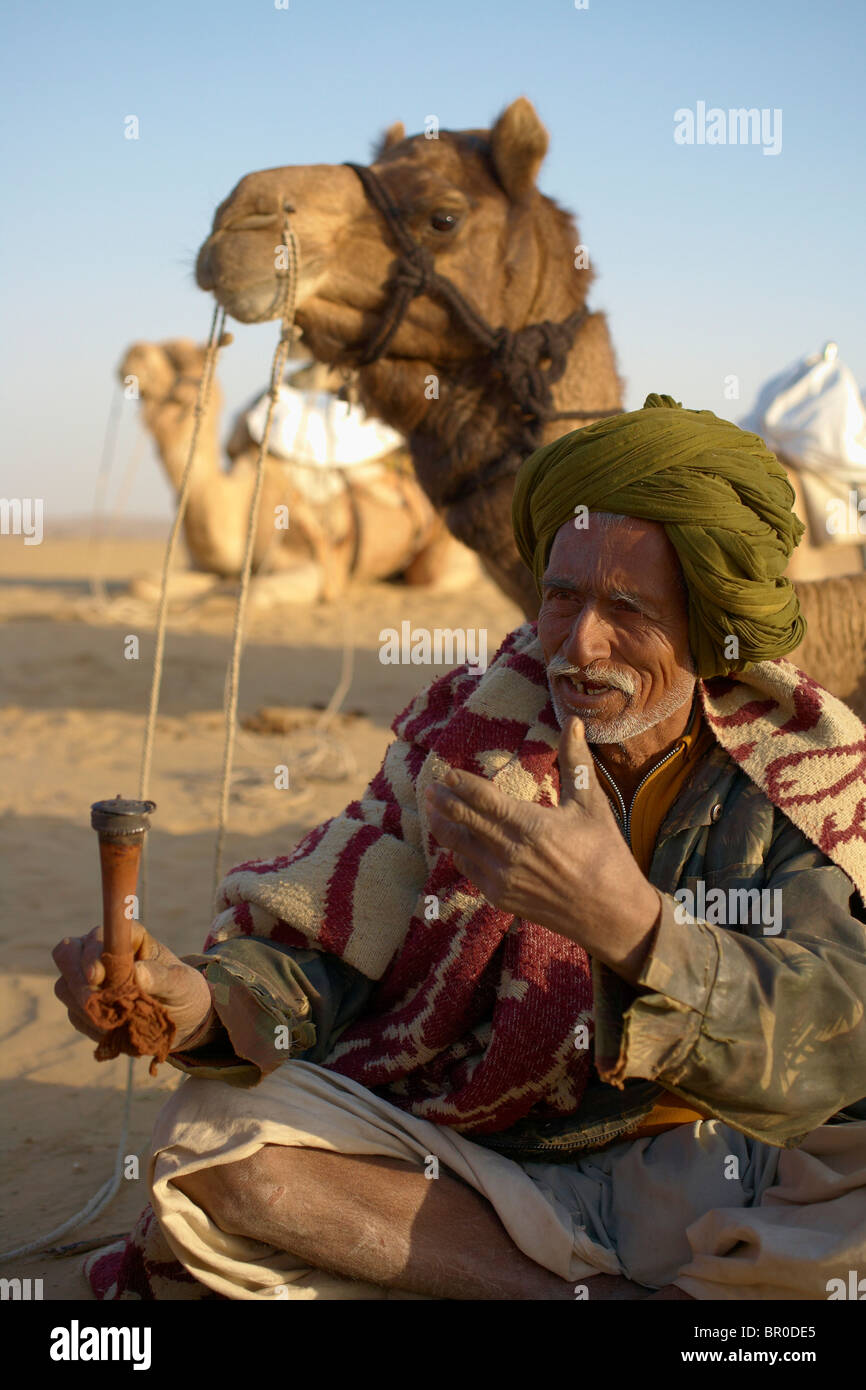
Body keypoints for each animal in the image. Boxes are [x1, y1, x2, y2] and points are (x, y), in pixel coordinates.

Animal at [118, 338, 479, 605]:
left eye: (176, 357)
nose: (132, 352)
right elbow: (140, 582)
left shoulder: (316, 563)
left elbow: (250, 592)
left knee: (429, 579)